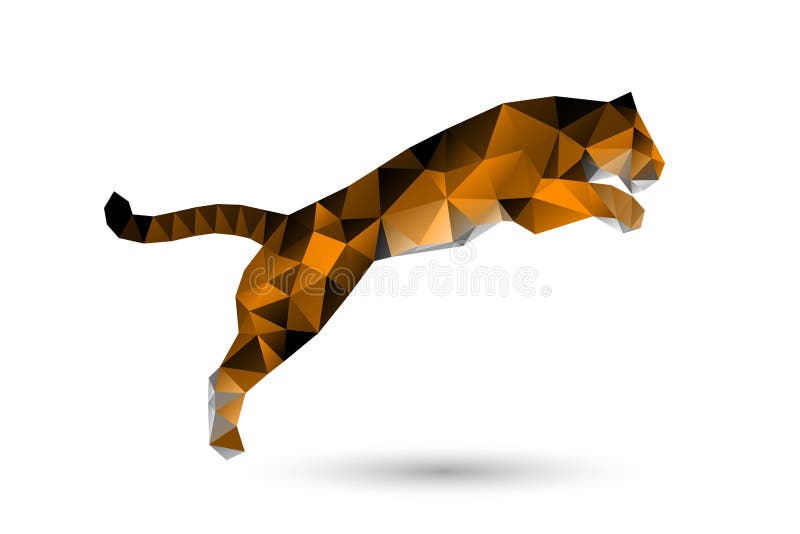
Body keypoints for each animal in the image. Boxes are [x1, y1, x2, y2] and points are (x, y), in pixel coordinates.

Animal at [105, 93, 664, 458]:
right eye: (640, 139)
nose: (660, 167)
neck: (568, 129)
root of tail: (284, 221)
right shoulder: (526, 203)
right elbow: (586, 195)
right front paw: (630, 212)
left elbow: (588, 191)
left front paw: (628, 210)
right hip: (287, 322)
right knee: (223, 374)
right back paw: (226, 445)